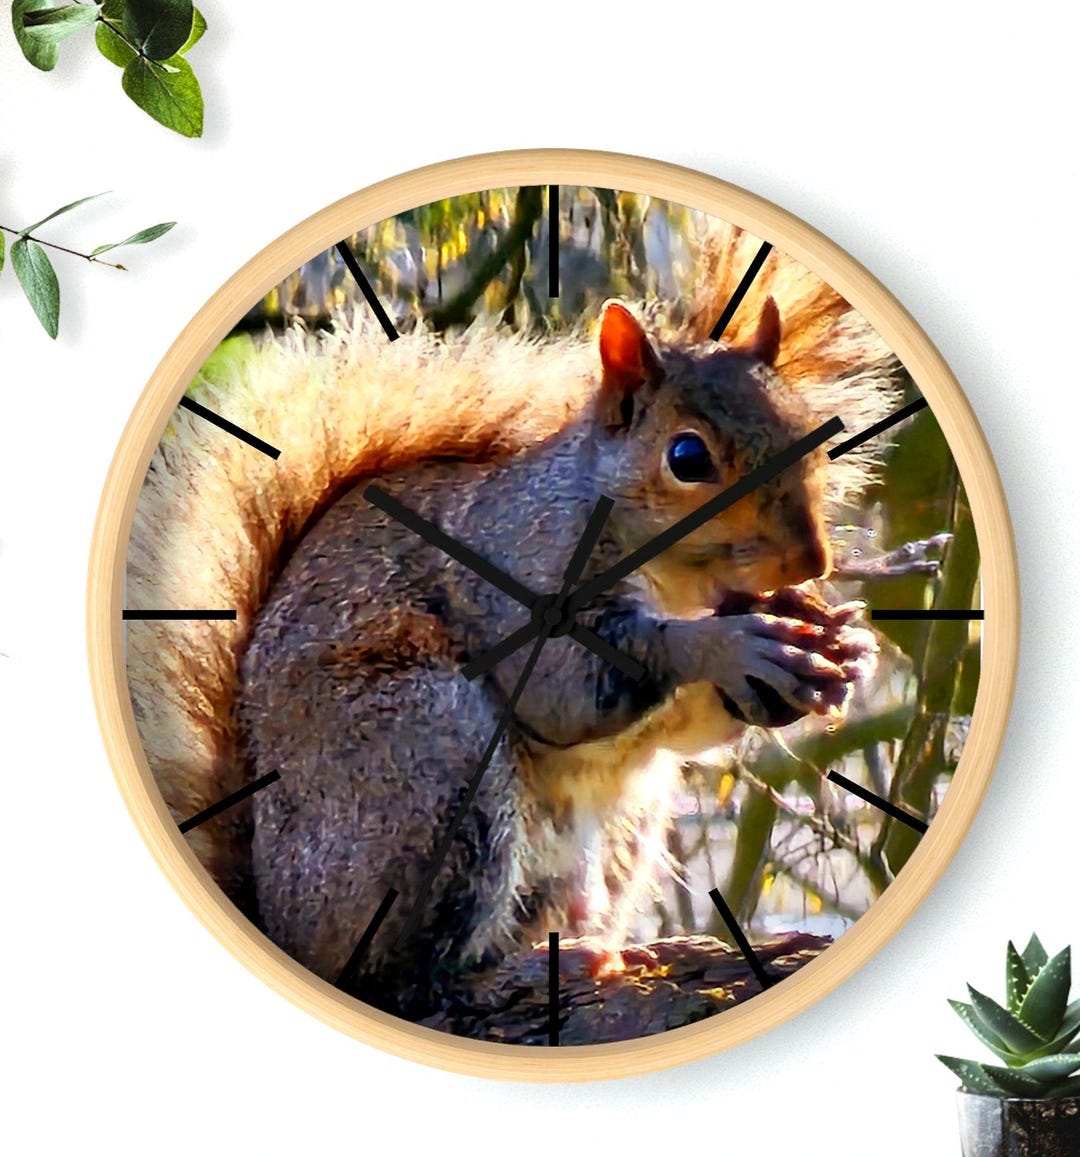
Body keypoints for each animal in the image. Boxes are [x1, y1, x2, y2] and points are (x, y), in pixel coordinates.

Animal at [125, 220, 901, 1021]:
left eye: (810, 429)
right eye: (687, 456)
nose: (810, 560)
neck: (679, 582)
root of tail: (278, 916)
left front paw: (843, 645)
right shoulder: (522, 570)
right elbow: (569, 686)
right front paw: (730, 646)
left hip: (615, 830)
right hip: (431, 762)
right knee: (399, 981)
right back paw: (504, 976)